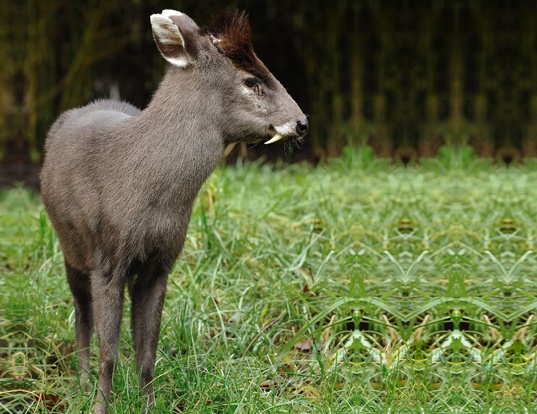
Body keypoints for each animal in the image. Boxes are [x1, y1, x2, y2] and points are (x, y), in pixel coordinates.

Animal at [40, 8, 308, 412]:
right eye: (251, 80)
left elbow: (147, 353)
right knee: (81, 313)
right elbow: (109, 352)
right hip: (70, 248)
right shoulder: (106, 259)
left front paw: (149, 406)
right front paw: (99, 405)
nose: (302, 122)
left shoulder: (161, 264)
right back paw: (82, 385)